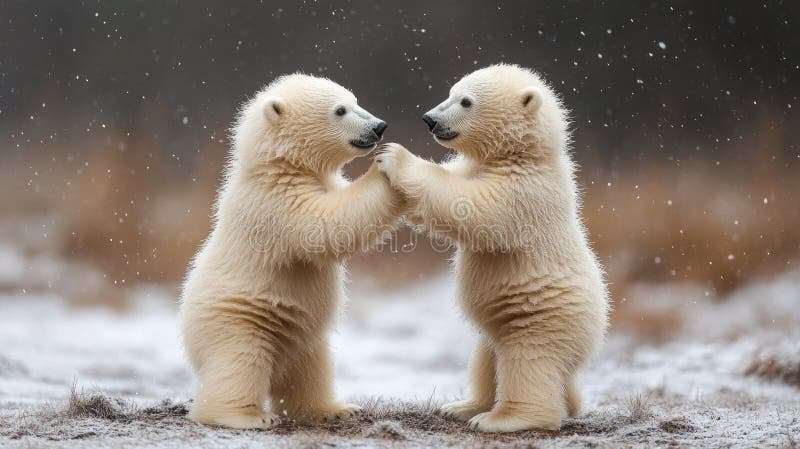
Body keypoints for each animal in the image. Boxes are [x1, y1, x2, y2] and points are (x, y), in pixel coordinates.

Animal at [180, 74, 404, 429]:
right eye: (340, 110)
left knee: (311, 371)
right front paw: (390, 164)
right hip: (237, 321)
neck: (277, 165)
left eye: (354, 101)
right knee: (239, 362)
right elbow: (324, 226)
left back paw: (334, 409)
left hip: (306, 338)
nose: (379, 127)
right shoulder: (274, 202)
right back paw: (246, 416)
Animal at [376, 64, 609, 432]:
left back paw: (504, 418)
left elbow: (475, 208)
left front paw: (395, 158)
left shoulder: (525, 190)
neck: (524, 154)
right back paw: (465, 407)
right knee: (488, 358)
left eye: (466, 101)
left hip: (544, 317)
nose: (429, 119)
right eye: (451, 92)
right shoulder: (474, 167)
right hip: (498, 326)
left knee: (529, 362)